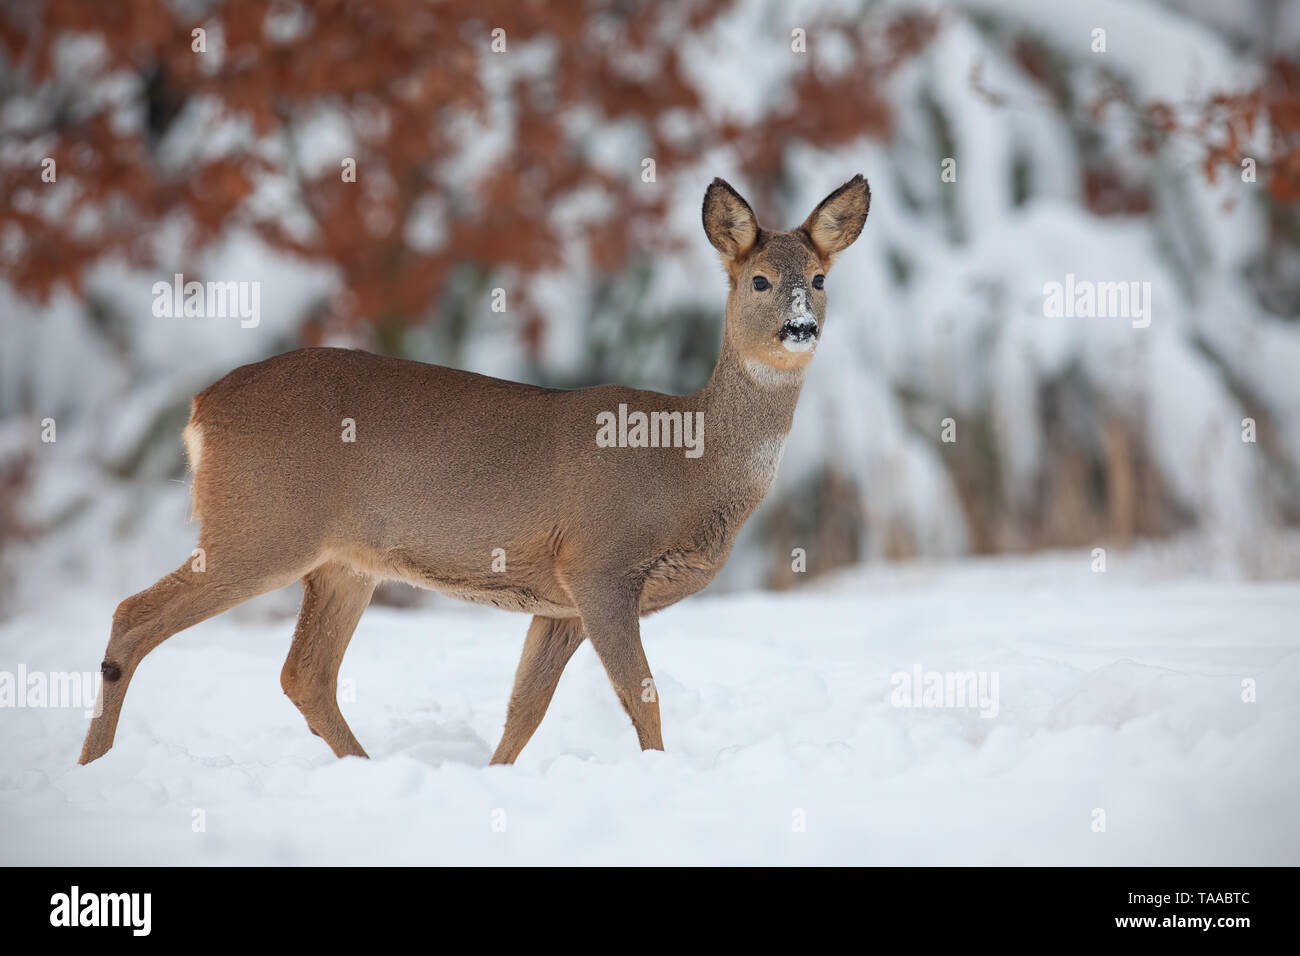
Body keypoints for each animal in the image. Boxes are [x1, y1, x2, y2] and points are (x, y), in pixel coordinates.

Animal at [79, 174, 871, 766]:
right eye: (760, 280)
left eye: (819, 278)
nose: (801, 327)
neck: (690, 464)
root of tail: (200, 408)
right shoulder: (600, 561)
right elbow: (641, 700)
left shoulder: (558, 599)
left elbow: (524, 710)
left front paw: (496, 779)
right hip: (262, 524)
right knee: (133, 616)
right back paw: (95, 764)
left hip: (342, 561)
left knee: (305, 672)